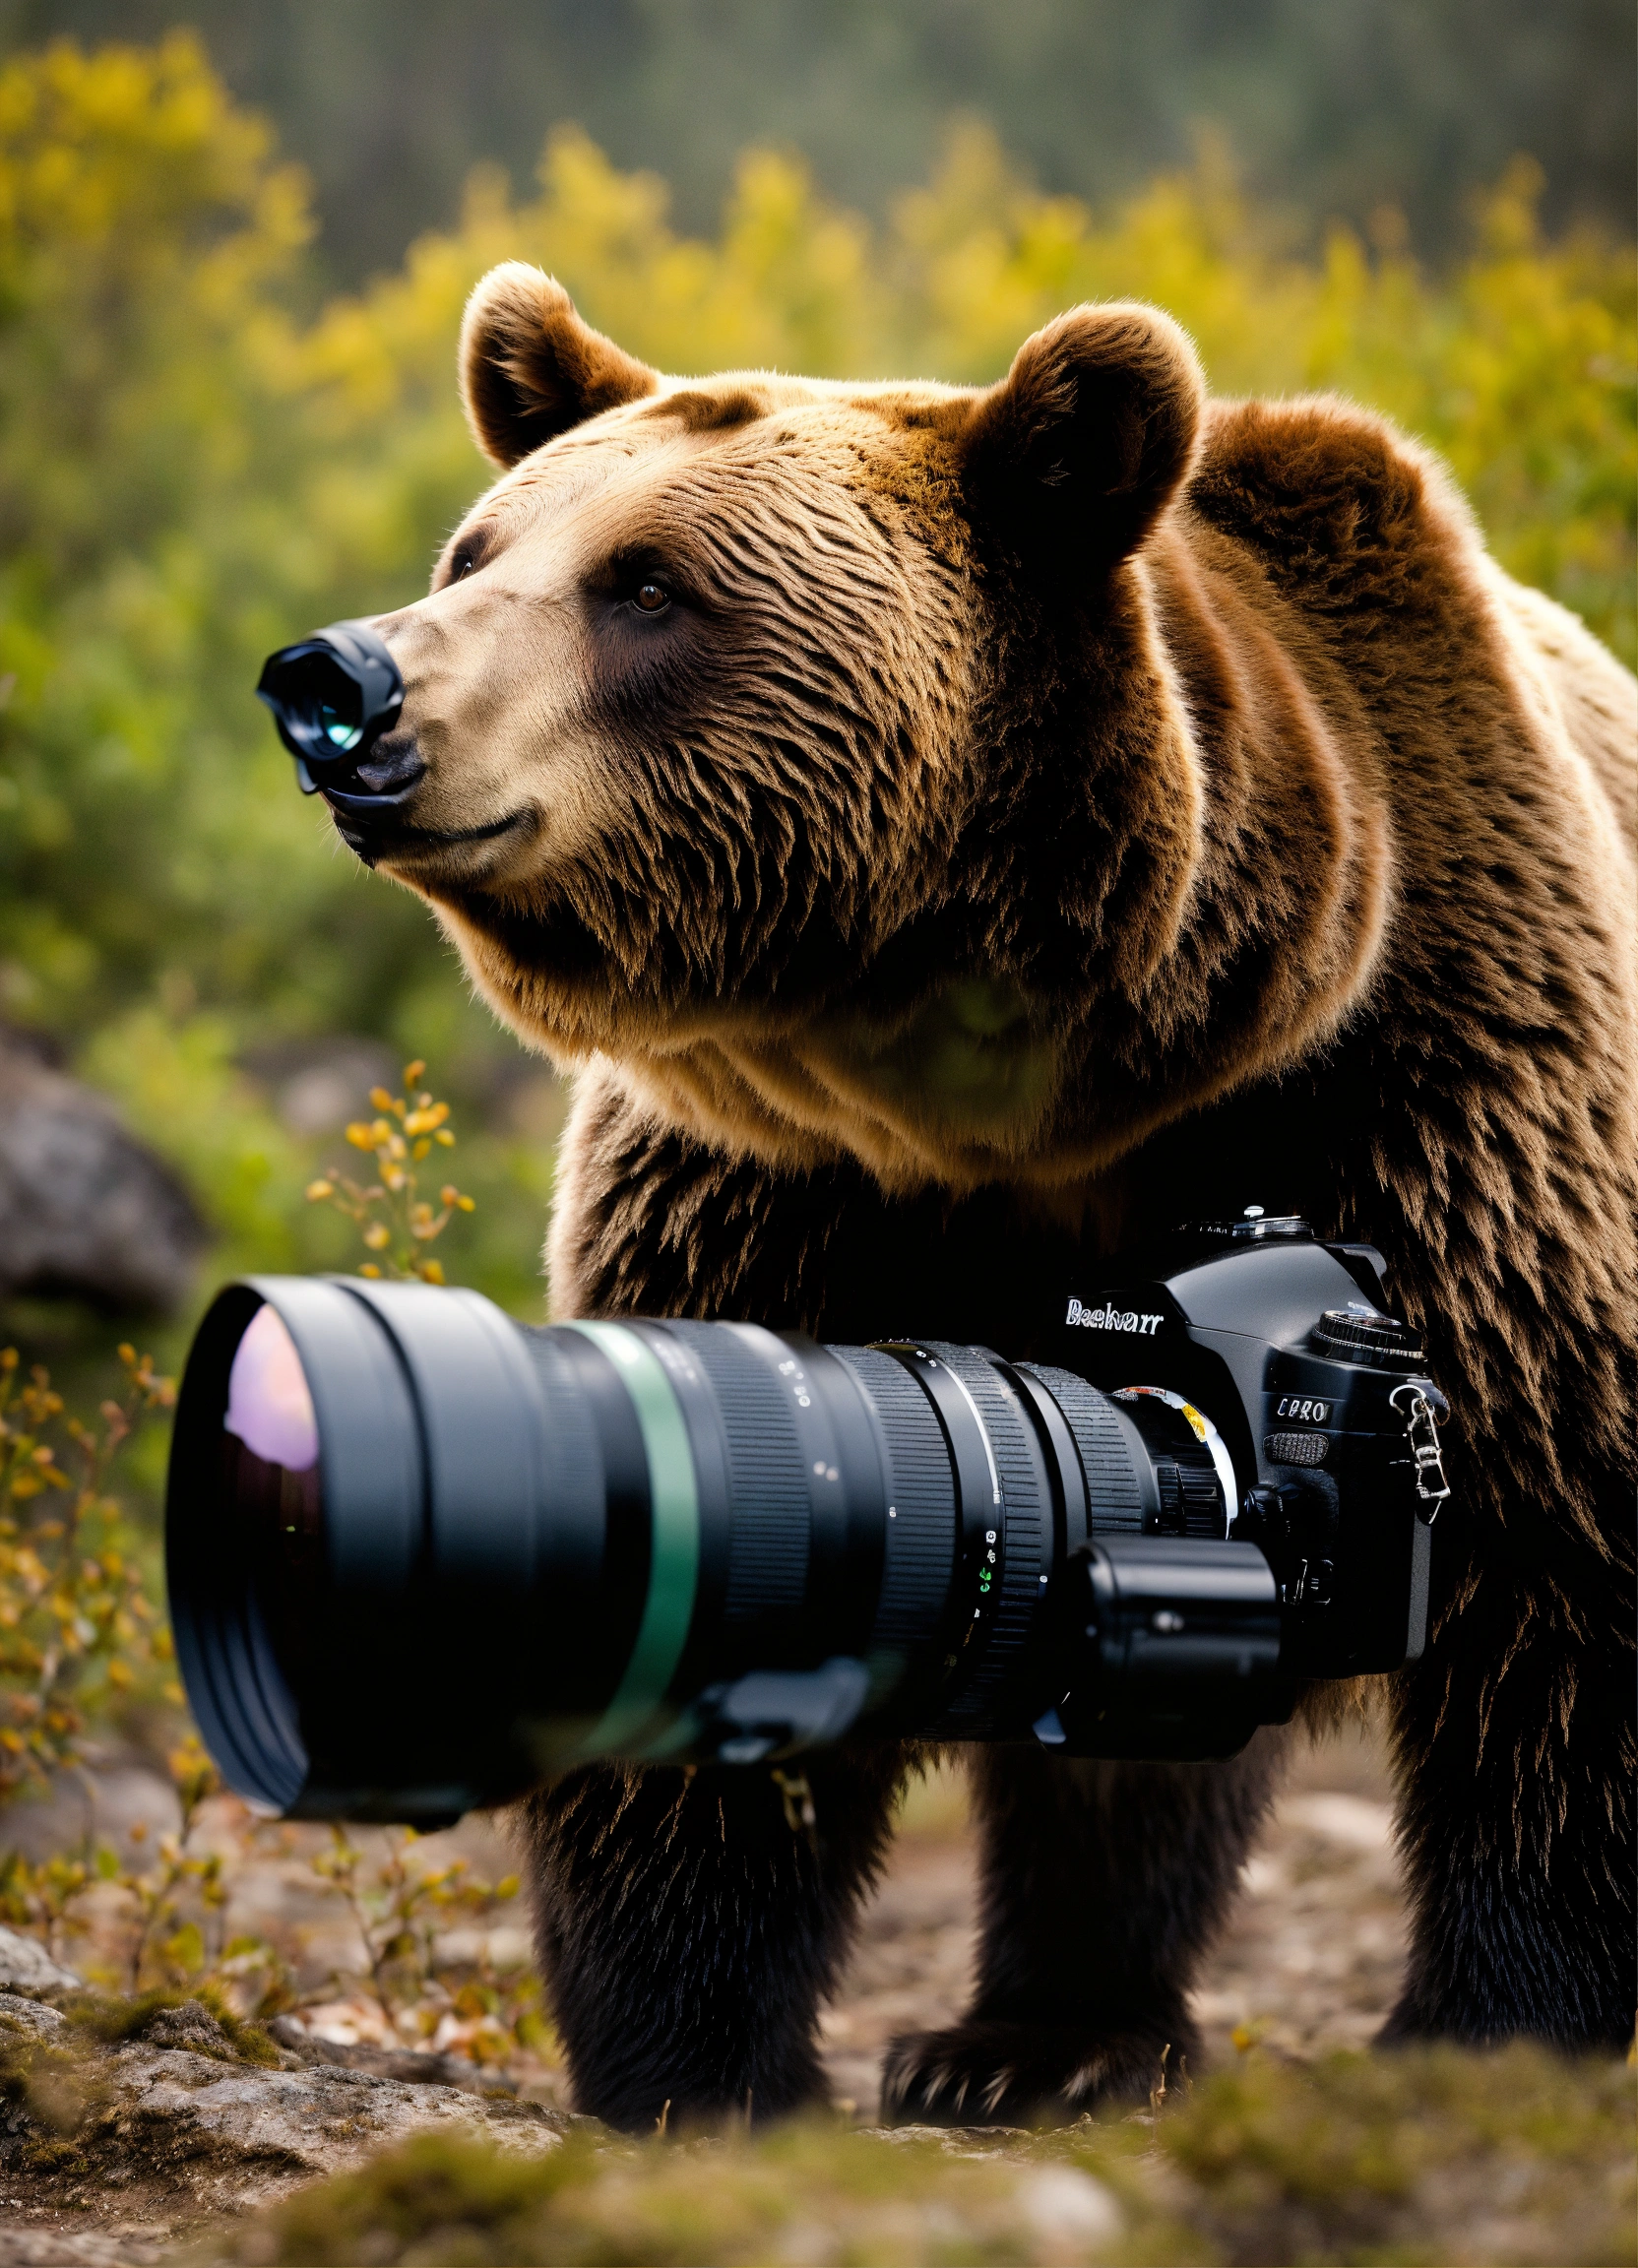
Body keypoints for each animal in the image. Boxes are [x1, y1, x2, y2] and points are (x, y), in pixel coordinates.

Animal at [321, 260, 1637, 2130]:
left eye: (643, 583)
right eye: (475, 549)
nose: (344, 684)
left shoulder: (1443, 1090)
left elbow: (1553, 1593)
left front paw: (1487, 2036)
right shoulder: (780, 1182)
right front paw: (697, 2063)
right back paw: (1030, 2039)